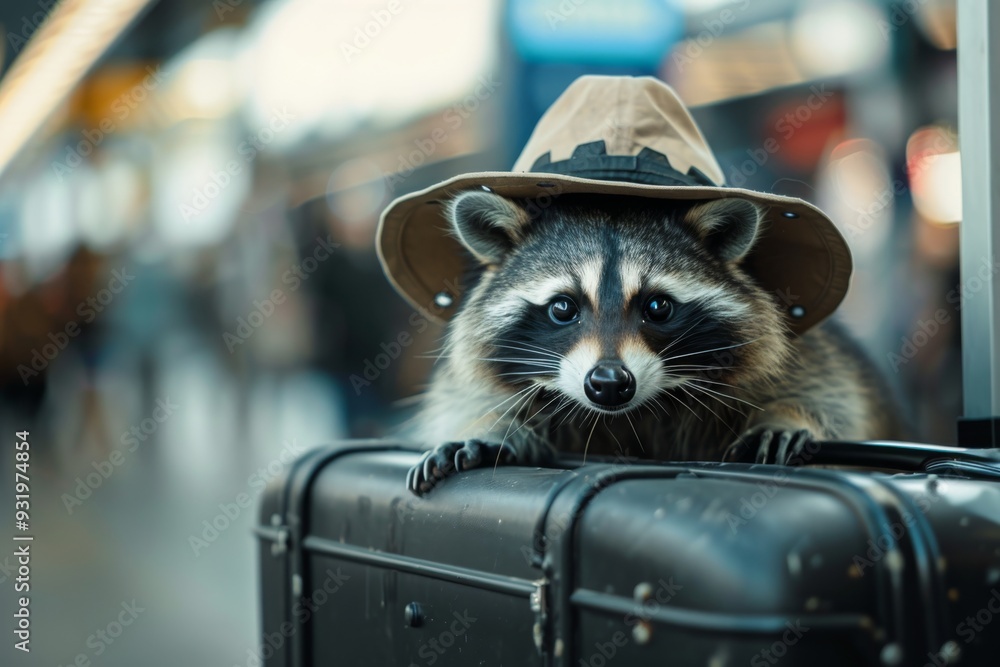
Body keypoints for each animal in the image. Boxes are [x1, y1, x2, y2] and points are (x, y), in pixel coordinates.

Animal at [405, 190, 905, 495]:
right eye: (563, 307)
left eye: (658, 307)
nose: (608, 382)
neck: (635, 413)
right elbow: (470, 395)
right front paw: (490, 428)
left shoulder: (796, 345)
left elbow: (828, 387)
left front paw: (789, 414)